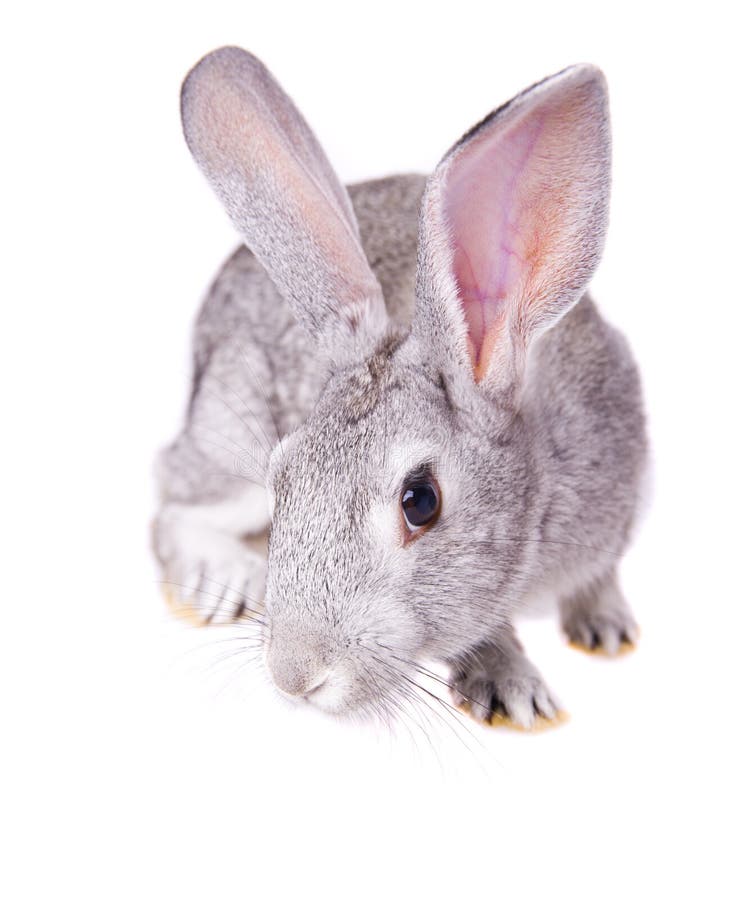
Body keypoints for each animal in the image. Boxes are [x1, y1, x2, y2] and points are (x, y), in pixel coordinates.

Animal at [154, 46, 647, 729]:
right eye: (282, 483)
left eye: (421, 501)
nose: (294, 675)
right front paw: (514, 690)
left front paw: (608, 628)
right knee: (174, 502)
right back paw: (220, 578)